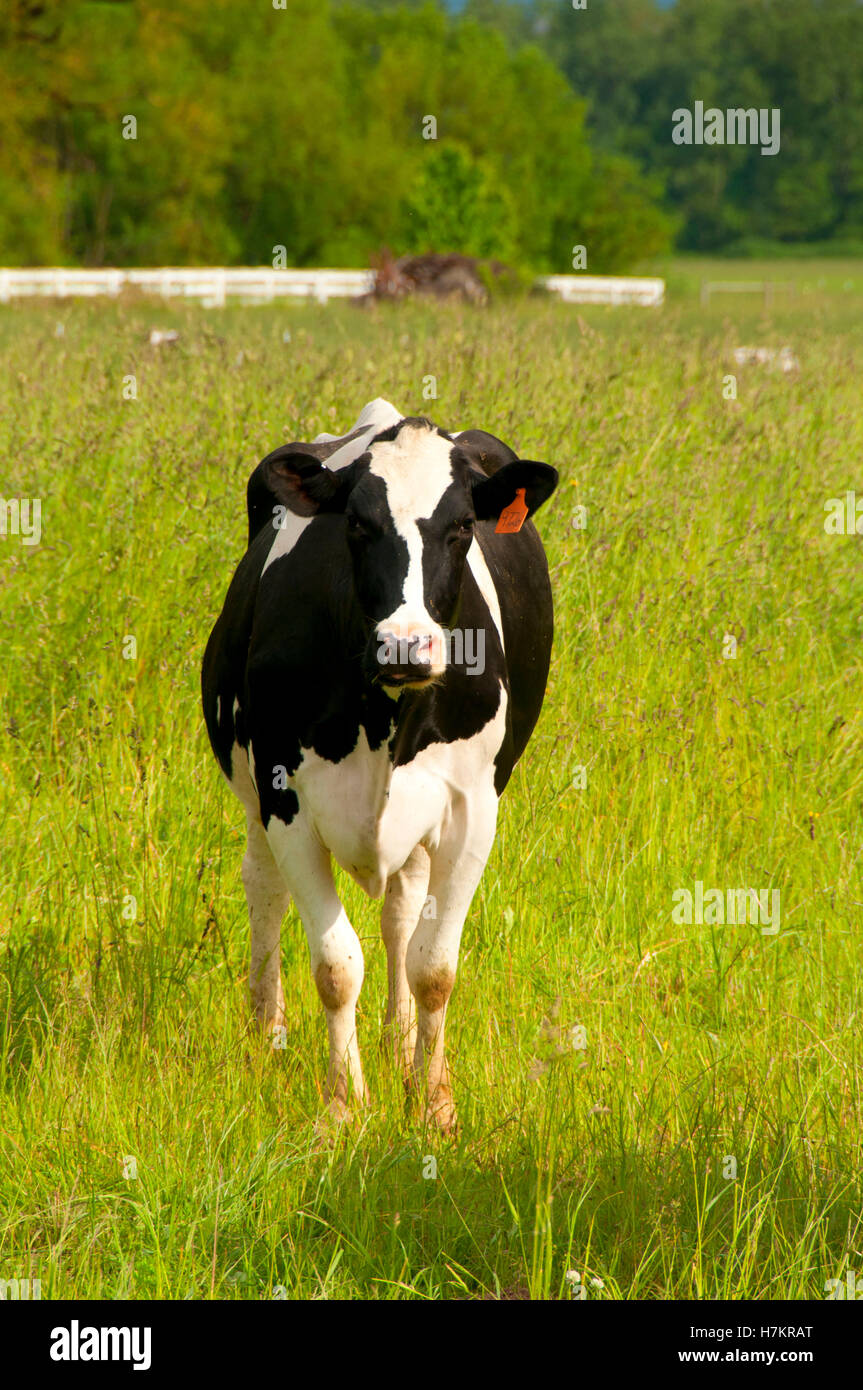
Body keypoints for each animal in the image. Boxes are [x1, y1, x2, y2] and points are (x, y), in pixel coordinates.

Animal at [201, 398, 557, 1132]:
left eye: (461, 527)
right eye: (358, 525)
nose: (406, 645)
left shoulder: (473, 810)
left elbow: (433, 966)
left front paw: (433, 1102)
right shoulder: (285, 799)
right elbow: (336, 963)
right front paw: (344, 1106)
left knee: (401, 910)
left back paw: (399, 1043)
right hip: (252, 792)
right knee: (264, 889)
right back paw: (268, 1037)